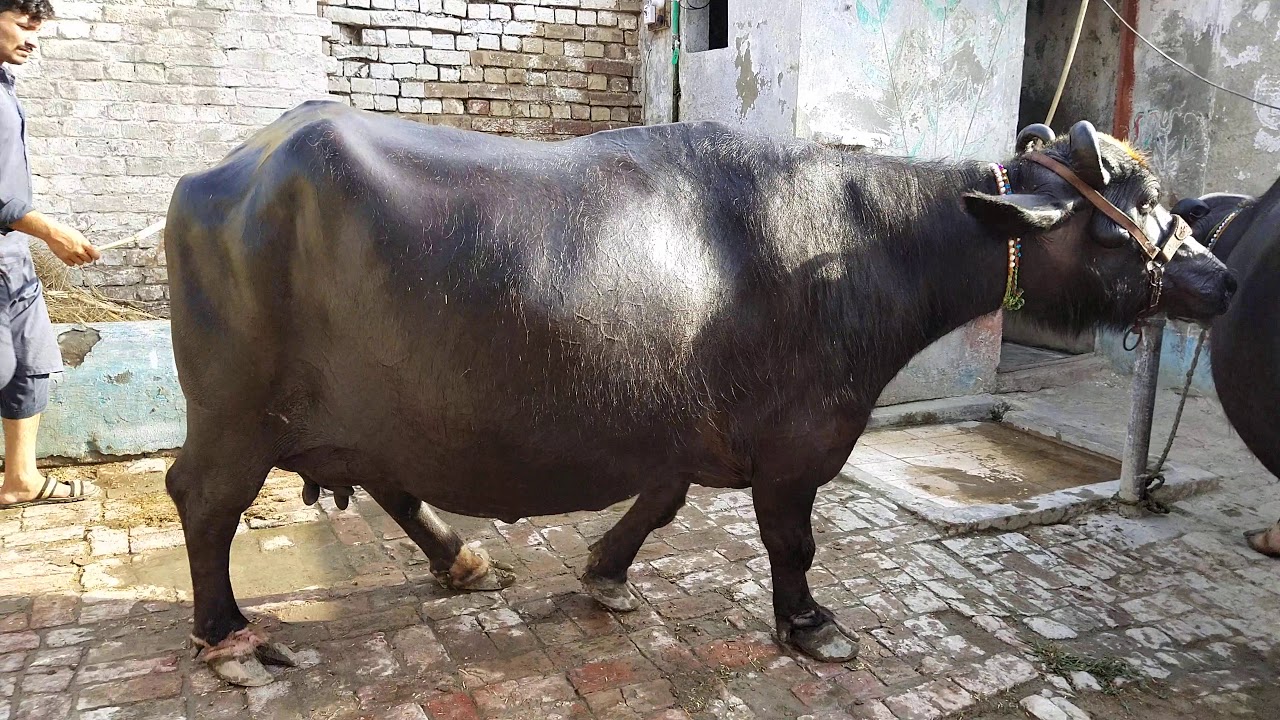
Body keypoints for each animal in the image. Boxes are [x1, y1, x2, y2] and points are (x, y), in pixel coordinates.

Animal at [163, 101, 1235, 685]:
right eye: (1133, 209)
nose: (1220, 279)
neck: (870, 246)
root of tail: (223, 172)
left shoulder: (683, 435)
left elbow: (662, 502)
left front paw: (604, 571)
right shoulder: (800, 447)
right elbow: (791, 543)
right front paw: (811, 626)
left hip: (371, 413)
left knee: (387, 480)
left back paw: (461, 561)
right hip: (236, 416)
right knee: (202, 501)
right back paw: (226, 634)